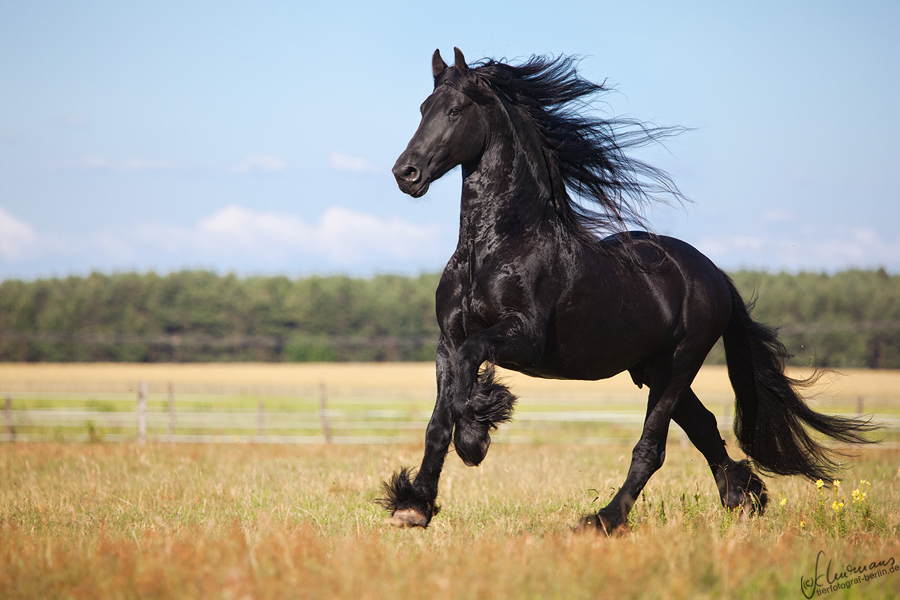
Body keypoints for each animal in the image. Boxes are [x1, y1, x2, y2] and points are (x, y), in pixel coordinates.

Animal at [378, 48, 875, 532]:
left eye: (455, 110)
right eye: (423, 108)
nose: (406, 173)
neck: (494, 248)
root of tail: (713, 274)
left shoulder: (524, 337)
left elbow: (468, 375)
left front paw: (475, 435)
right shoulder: (448, 341)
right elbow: (438, 420)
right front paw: (414, 504)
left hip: (679, 365)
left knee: (652, 448)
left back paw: (605, 519)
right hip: (653, 367)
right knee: (704, 428)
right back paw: (743, 499)